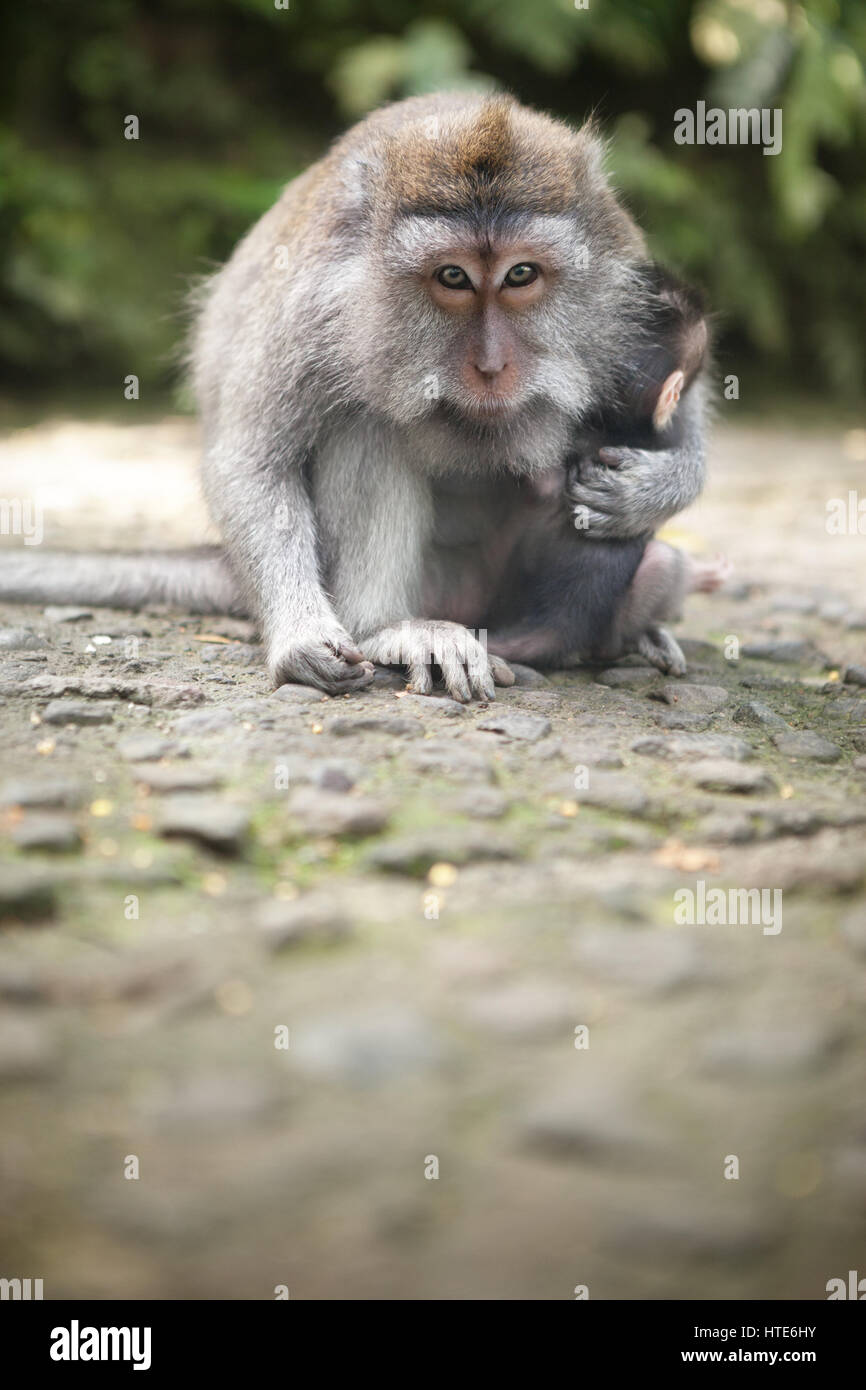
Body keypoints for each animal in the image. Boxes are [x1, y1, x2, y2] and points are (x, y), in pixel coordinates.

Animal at [0, 93, 708, 700]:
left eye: (521, 274)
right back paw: (390, 628)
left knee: (661, 565)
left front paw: (652, 489)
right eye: (453, 277)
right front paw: (300, 636)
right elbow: (252, 460)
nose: (491, 364)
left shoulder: (625, 275)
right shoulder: (310, 301)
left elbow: (682, 397)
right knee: (365, 423)